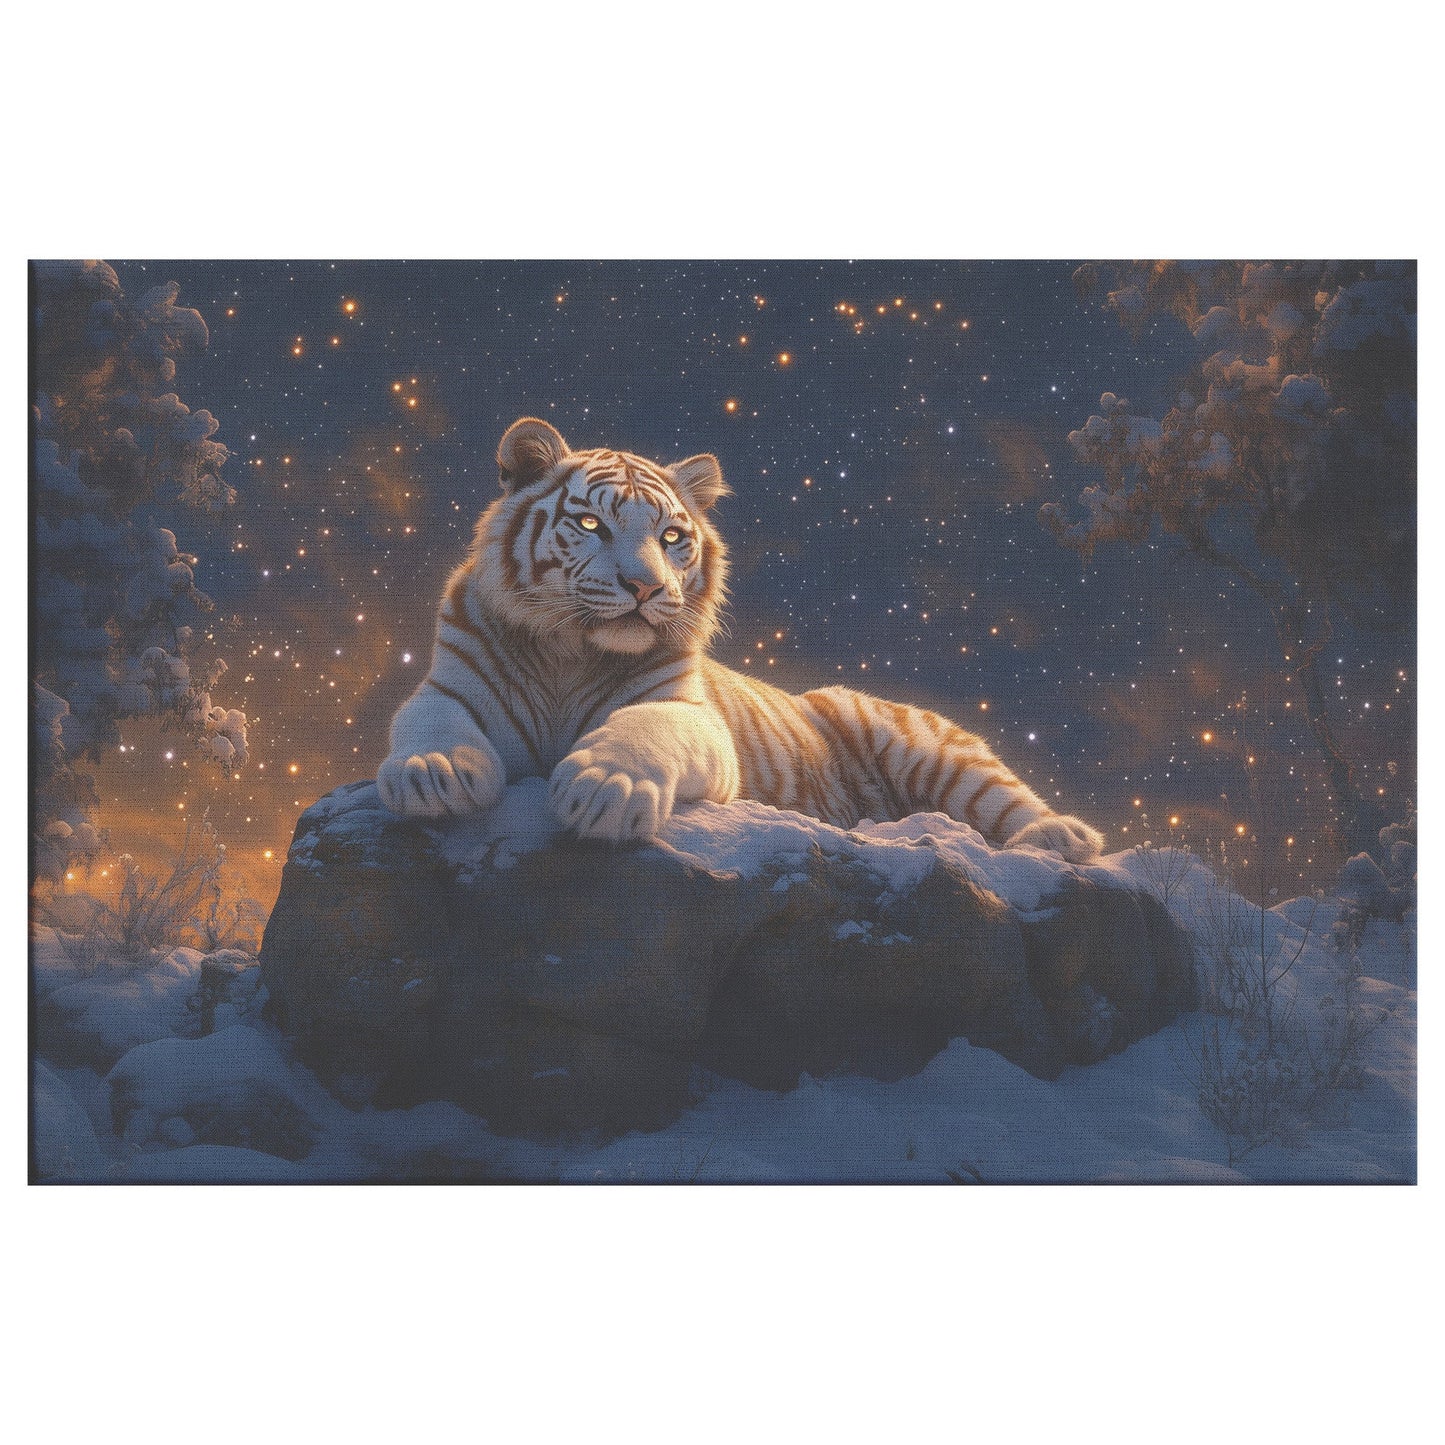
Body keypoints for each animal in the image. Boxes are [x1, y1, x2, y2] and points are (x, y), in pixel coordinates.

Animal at [376, 417, 1104, 863]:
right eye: (588, 524)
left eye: (672, 536)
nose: (645, 586)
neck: (570, 651)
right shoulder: (448, 684)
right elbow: (430, 721)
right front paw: (433, 775)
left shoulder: (689, 713)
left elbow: (642, 730)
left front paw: (605, 789)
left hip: (928, 745)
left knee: (1002, 798)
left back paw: (1061, 838)